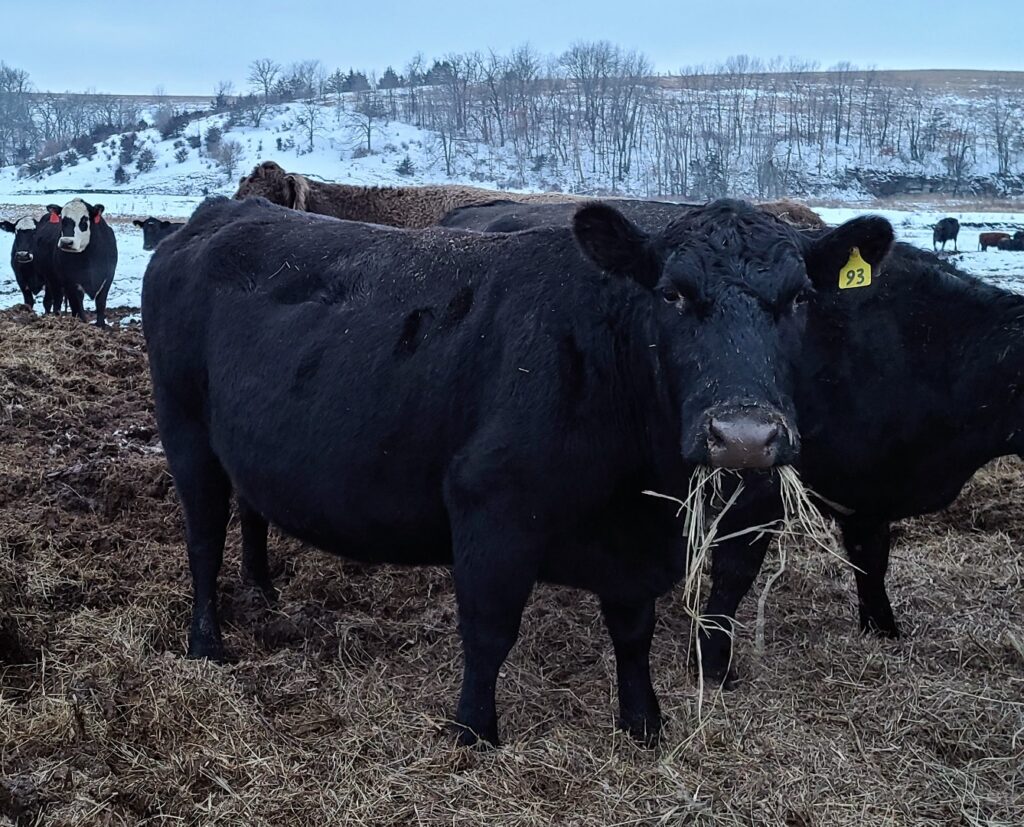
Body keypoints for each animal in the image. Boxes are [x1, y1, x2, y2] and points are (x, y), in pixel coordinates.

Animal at [55, 198, 117, 327]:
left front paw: (101, 325)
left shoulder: (108, 277)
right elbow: (78, 304)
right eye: (62, 219)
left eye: (84, 219)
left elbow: (101, 303)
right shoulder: (70, 282)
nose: (66, 242)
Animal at [142, 195, 893, 747]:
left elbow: (633, 629)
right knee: (203, 538)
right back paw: (207, 643)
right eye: (673, 294)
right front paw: (474, 731)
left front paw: (643, 722)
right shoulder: (491, 509)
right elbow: (490, 628)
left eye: (800, 298)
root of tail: (224, 211)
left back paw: (263, 589)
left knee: (250, 510)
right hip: (186, 434)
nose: (744, 435)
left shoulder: (635, 539)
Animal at [697, 242, 1024, 687]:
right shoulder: (755, 479)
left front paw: (883, 630)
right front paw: (715, 664)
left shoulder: (867, 495)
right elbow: (735, 568)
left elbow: (871, 561)